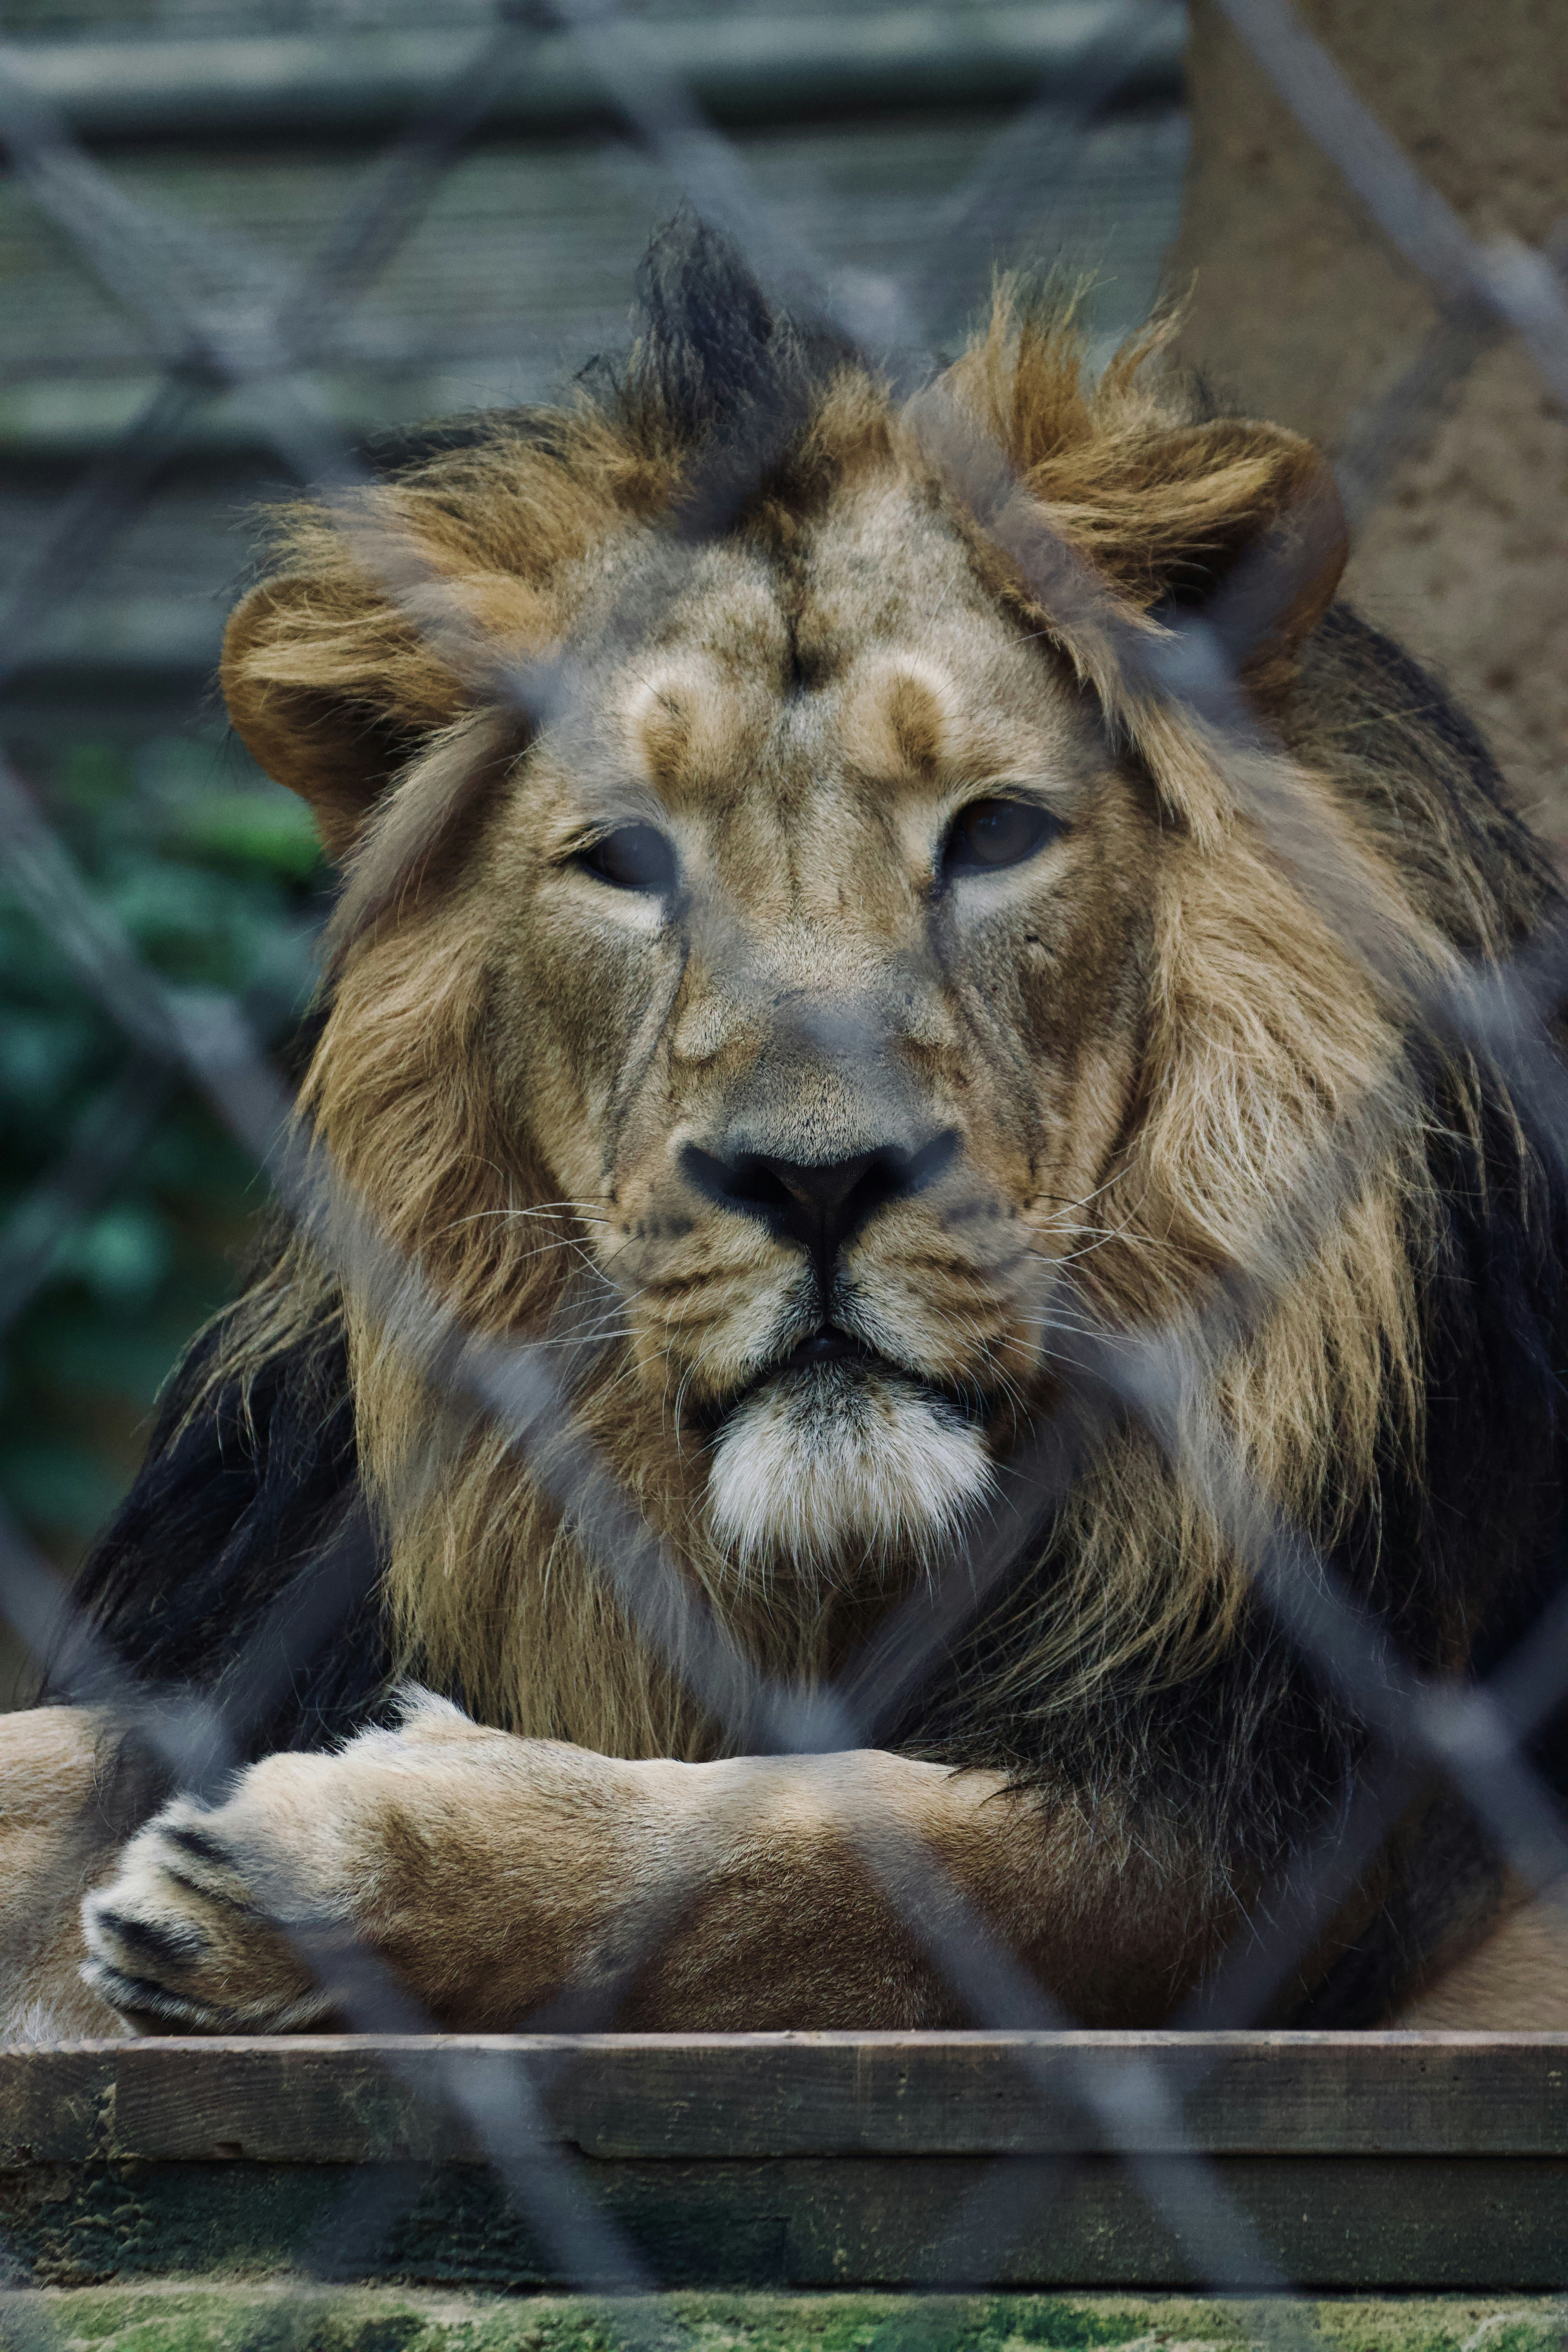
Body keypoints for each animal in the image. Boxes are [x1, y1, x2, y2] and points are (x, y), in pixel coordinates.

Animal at [4, 219, 1567, 2043]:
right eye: (626, 860)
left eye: (996, 834)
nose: (815, 1185)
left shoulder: (1262, 1836)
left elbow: (841, 1866)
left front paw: (321, 1872)